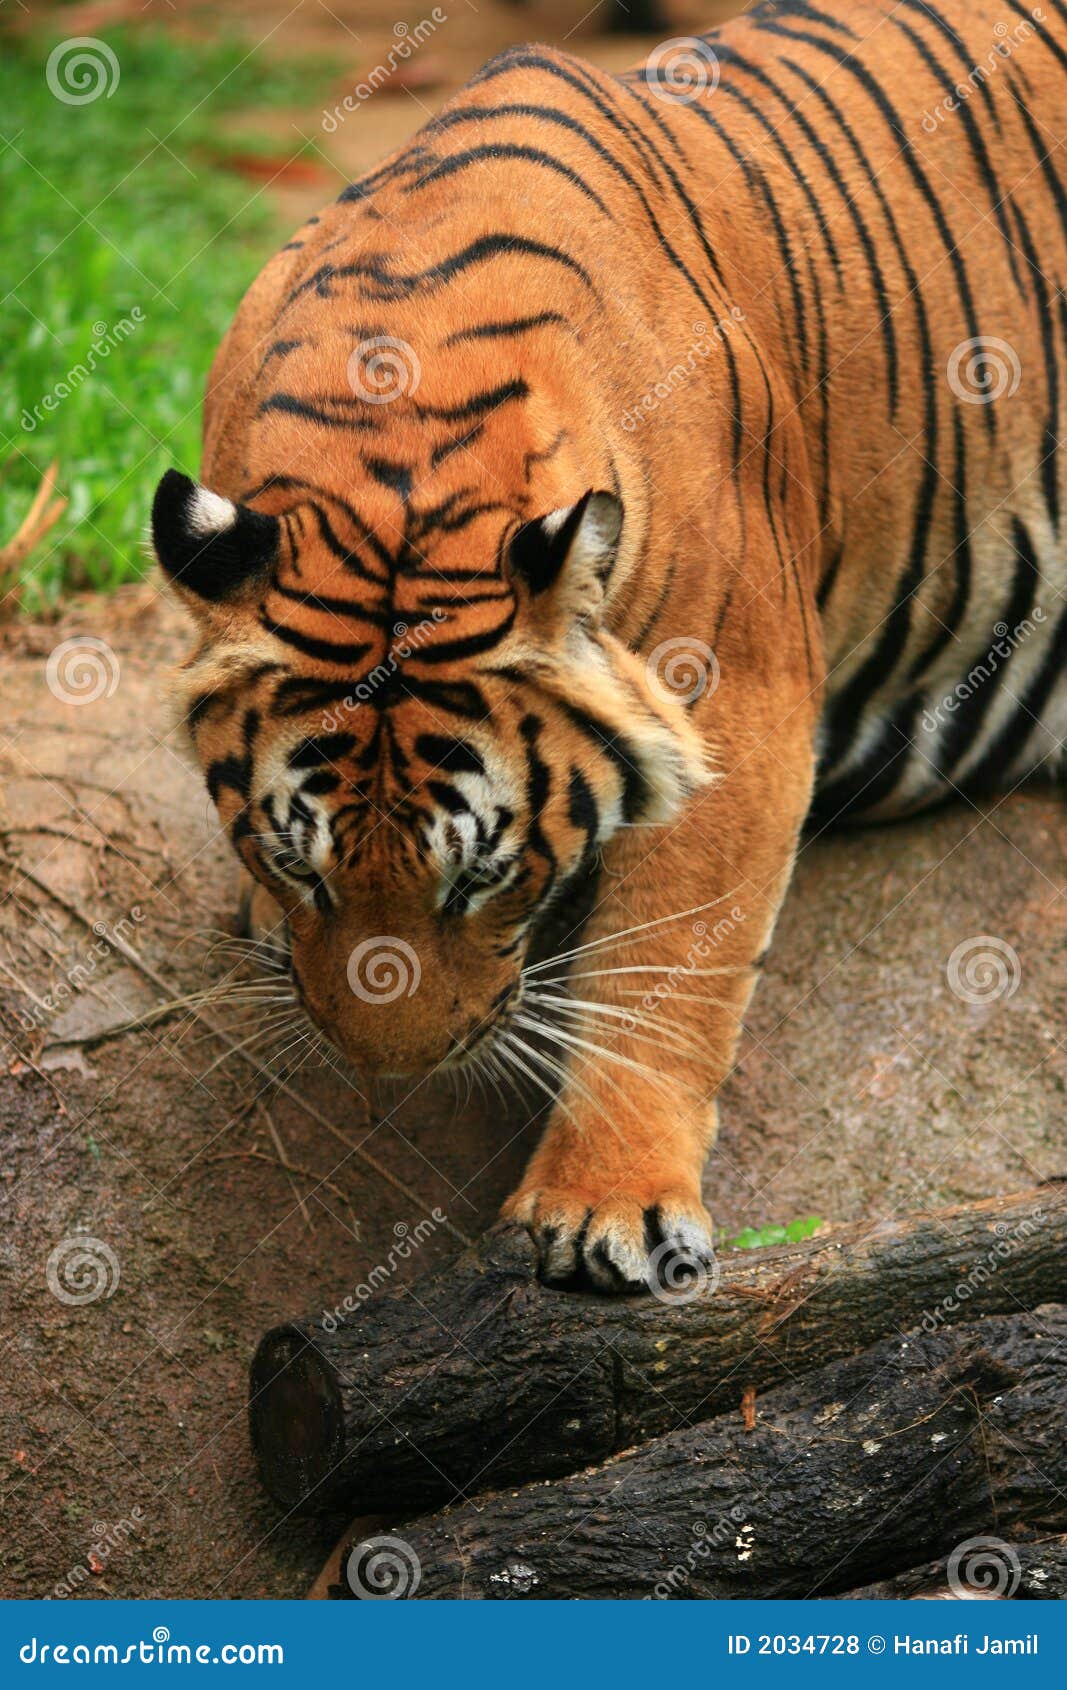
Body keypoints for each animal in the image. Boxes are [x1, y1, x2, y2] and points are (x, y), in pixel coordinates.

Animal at [152, 0, 1067, 1293]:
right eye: (303, 867)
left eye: (480, 877)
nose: (394, 1070)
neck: (397, 425)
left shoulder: (735, 698)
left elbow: (659, 970)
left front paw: (603, 1209)